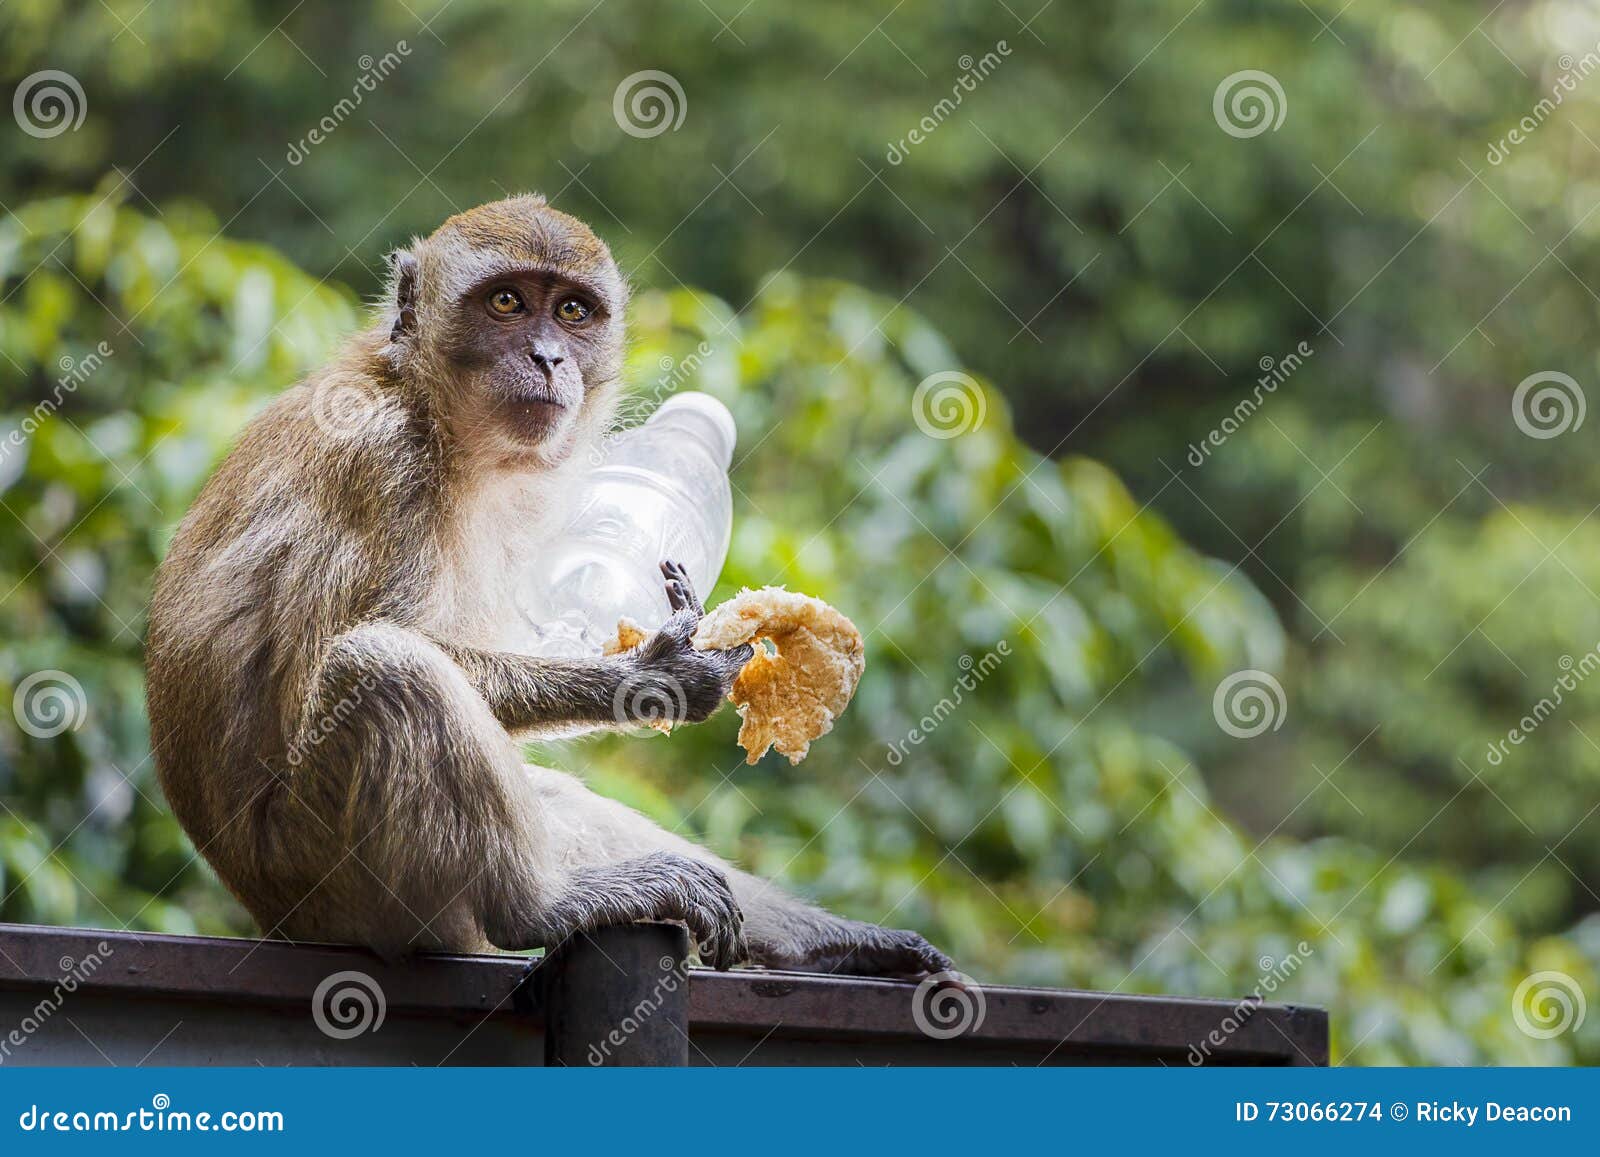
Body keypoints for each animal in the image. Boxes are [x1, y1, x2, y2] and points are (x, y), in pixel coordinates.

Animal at [145, 193, 952, 978]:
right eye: (506, 301)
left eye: (571, 311)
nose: (548, 355)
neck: (426, 409)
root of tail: (271, 911)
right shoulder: (377, 461)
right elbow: (341, 658)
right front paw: (655, 676)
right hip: (337, 883)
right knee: (382, 665)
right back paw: (539, 907)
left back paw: (812, 939)